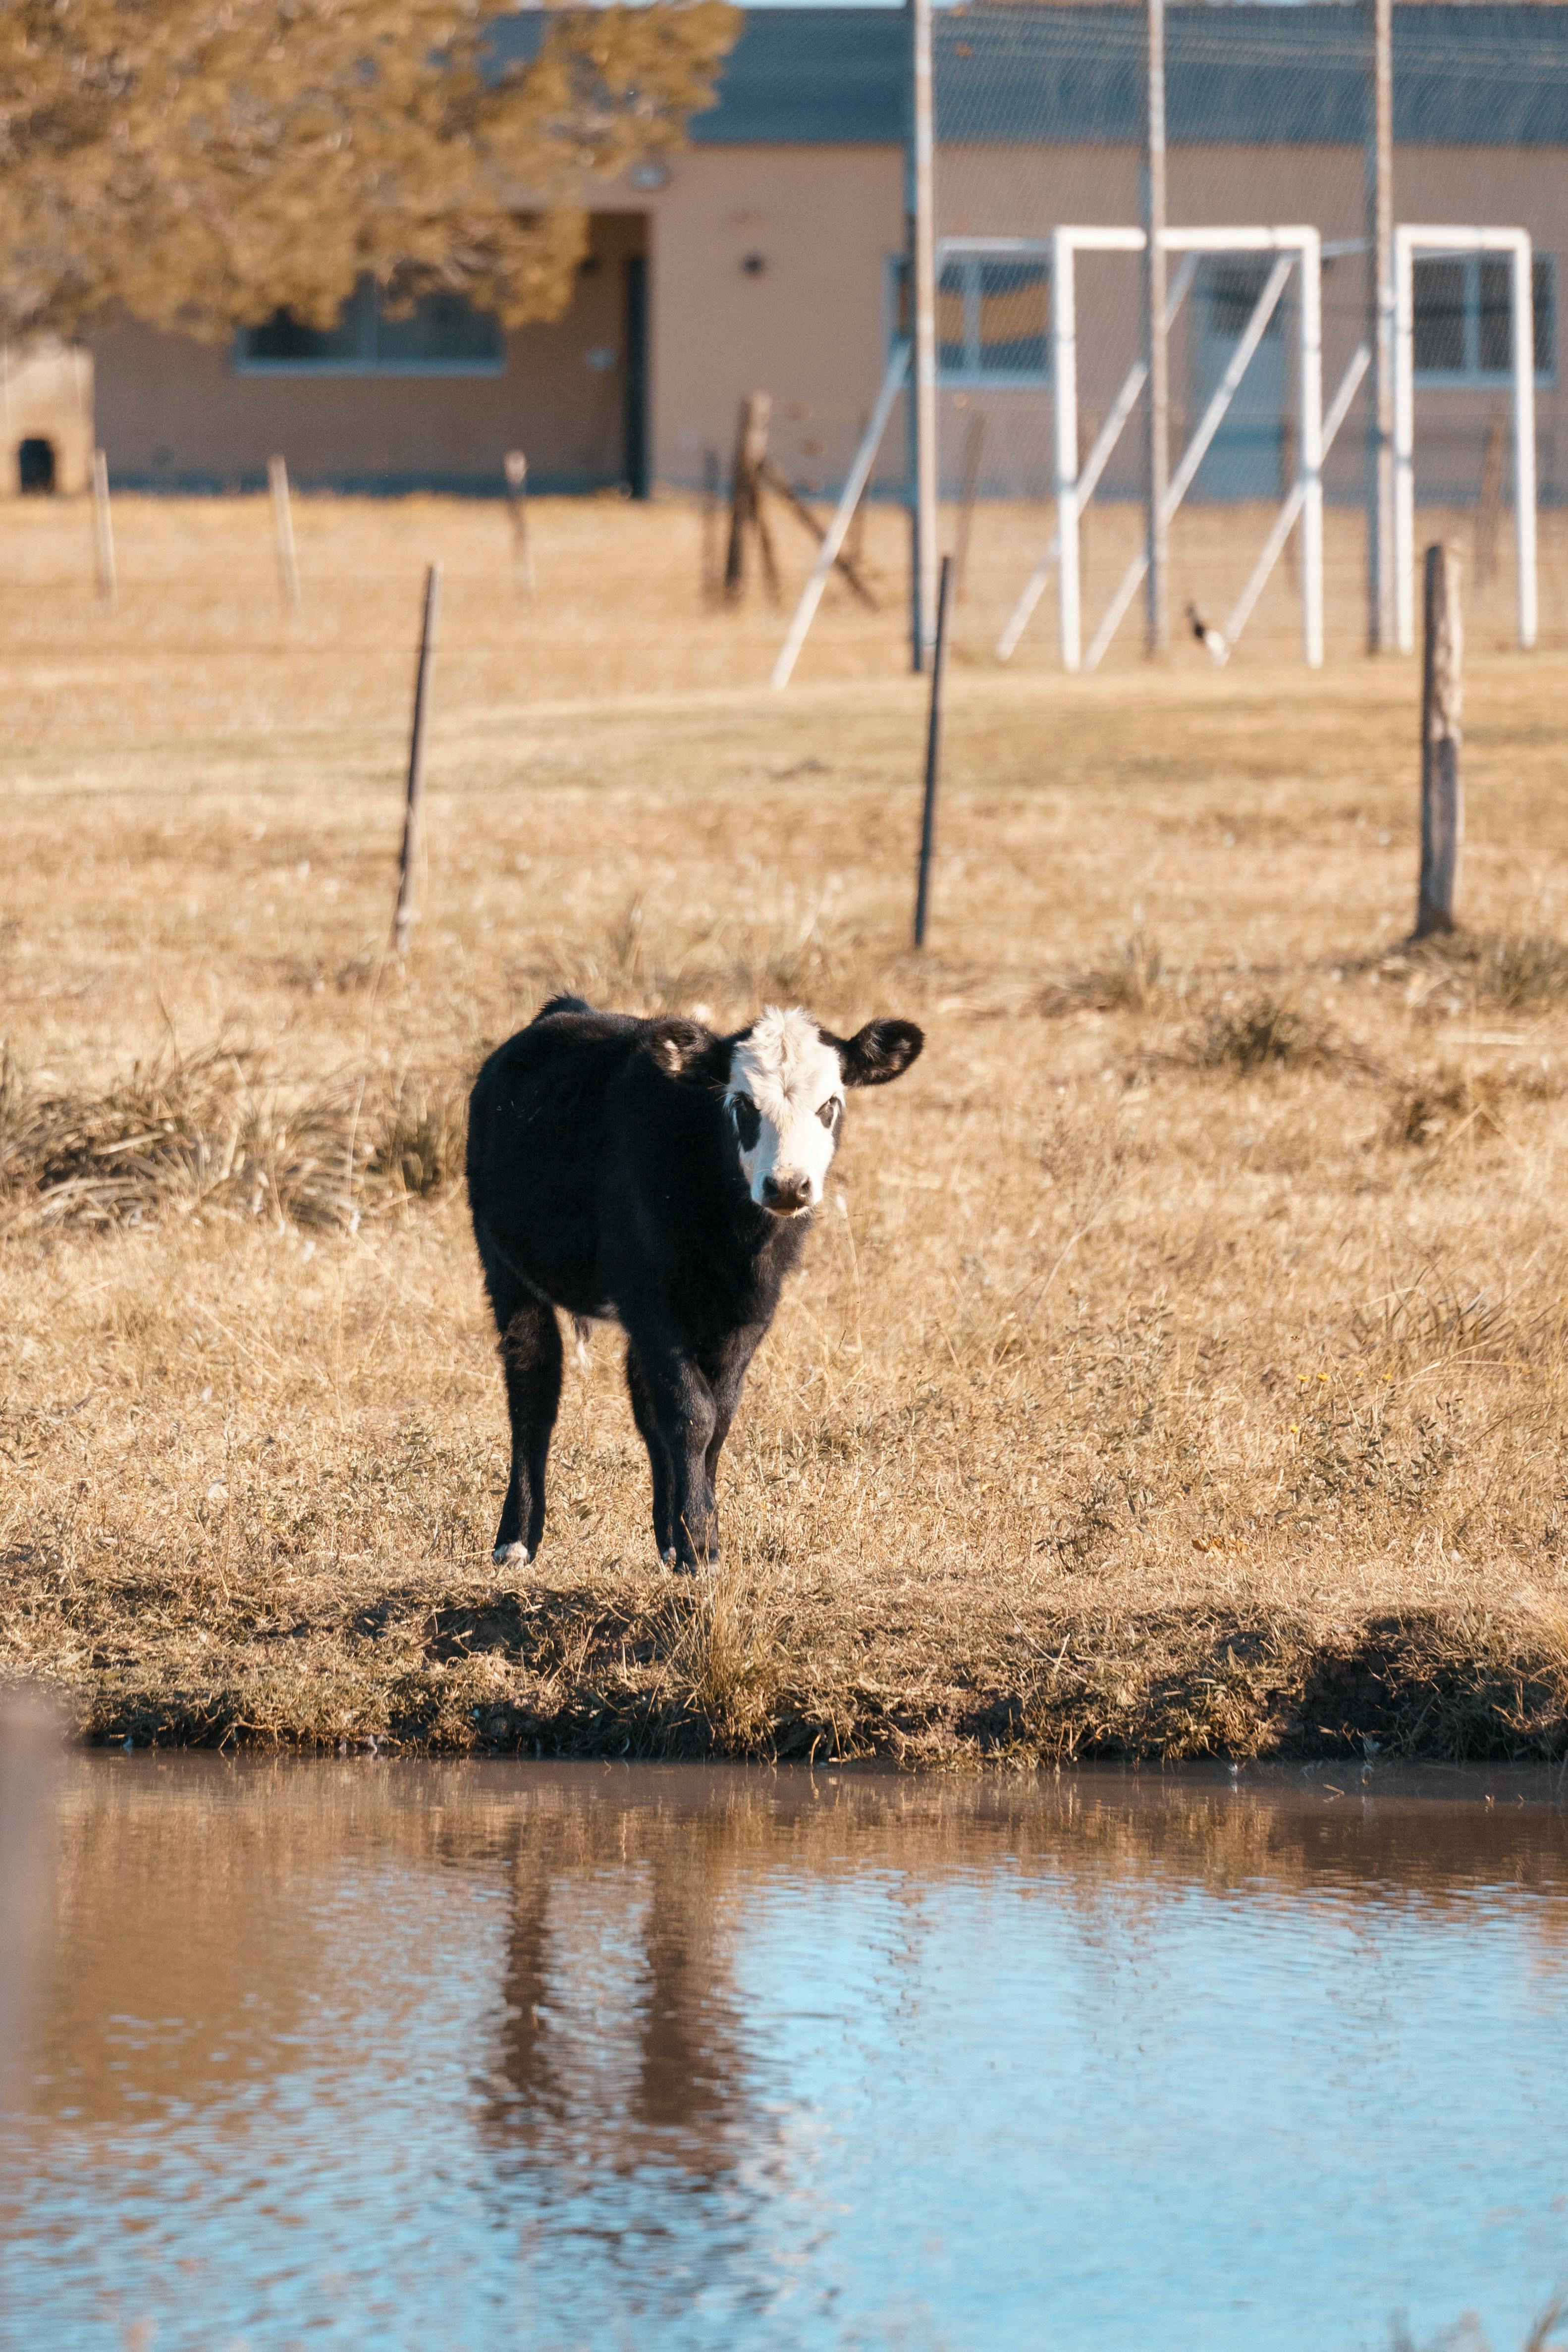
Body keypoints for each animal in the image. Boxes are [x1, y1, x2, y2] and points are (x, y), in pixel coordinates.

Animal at [466, 995, 924, 1573]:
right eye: (742, 1104)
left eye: (830, 1104)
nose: (787, 1185)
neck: (731, 1235)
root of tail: (565, 1009)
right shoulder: (649, 1300)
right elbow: (692, 1414)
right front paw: (701, 1546)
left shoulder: (752, 1309)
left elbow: (715, 1418)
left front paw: (692, 1536)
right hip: (506, 1269)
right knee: (533, 1389)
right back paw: (517, 1538)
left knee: (644, 1406)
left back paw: (666, 1537)